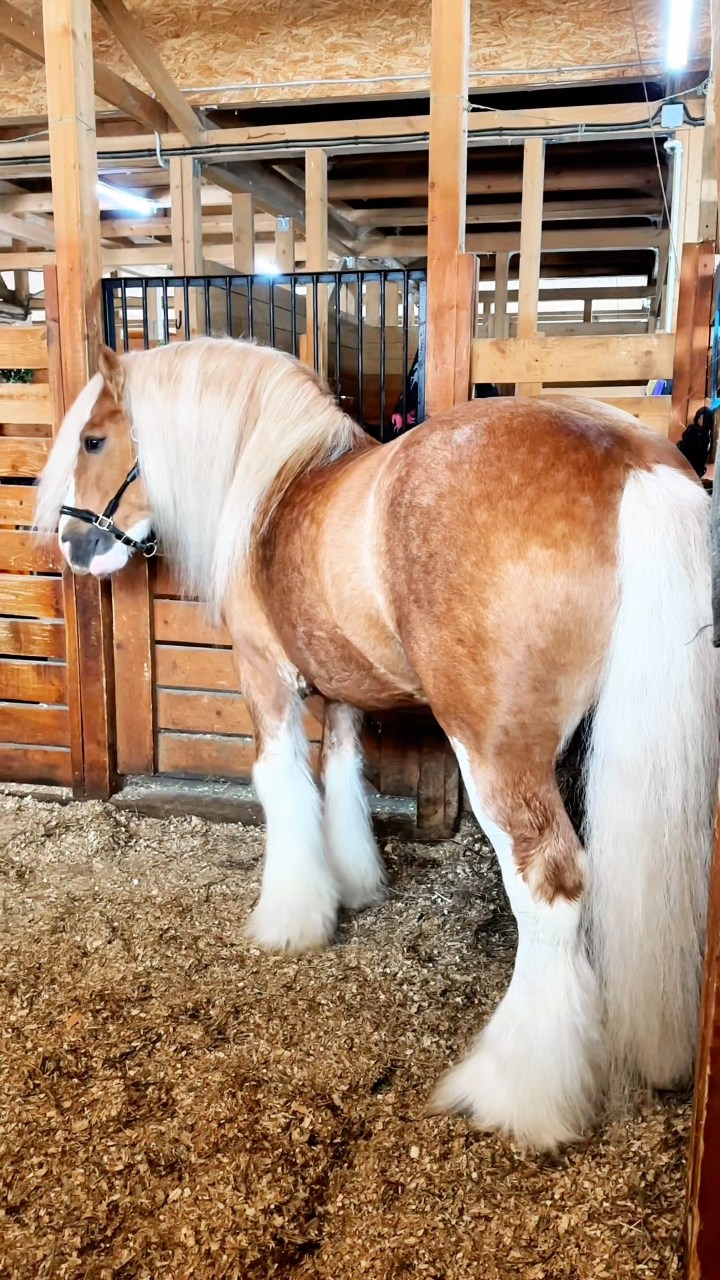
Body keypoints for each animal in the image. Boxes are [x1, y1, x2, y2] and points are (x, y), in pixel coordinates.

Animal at [36, 336, 720, 1152]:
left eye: (93, 440)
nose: (75, 547)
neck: (273, 491)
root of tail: (623, 455)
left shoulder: (263, 680)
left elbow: (283, 786)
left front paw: (291, 919)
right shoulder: (340, 695)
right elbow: (343, 776)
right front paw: (355, 885)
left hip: (497, 752)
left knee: (551, 889)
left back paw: (515, 1092)